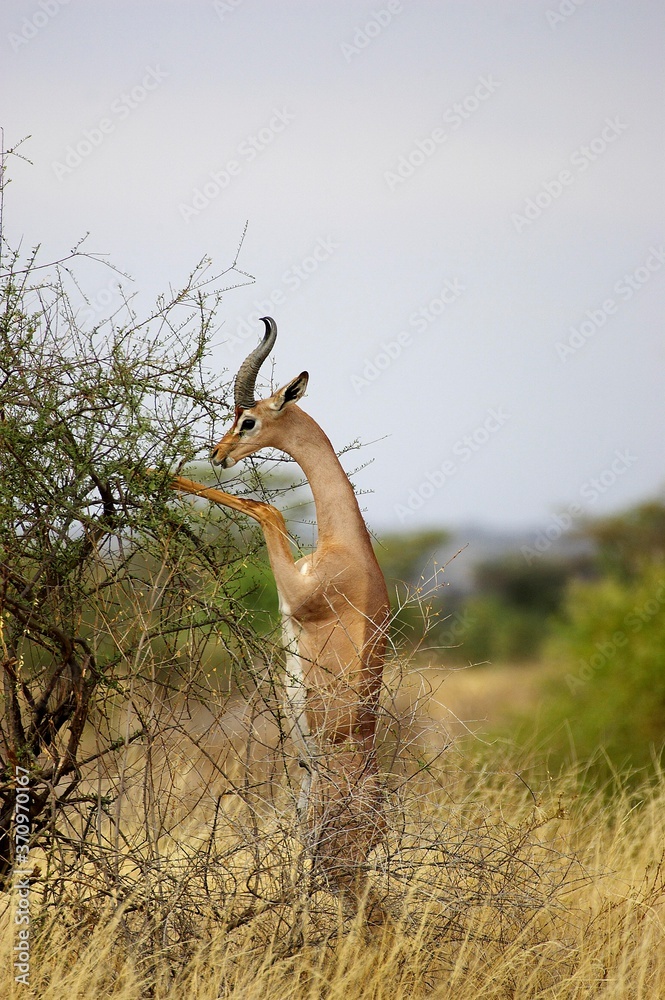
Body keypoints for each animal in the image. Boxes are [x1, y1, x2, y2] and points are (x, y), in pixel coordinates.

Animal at [173, 317, 390, 905]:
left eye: (248, 418)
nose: (219, 453)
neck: (347, 548)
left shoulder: (296, 594)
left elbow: (266, 507)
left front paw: (158, 472)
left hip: (332, 847)